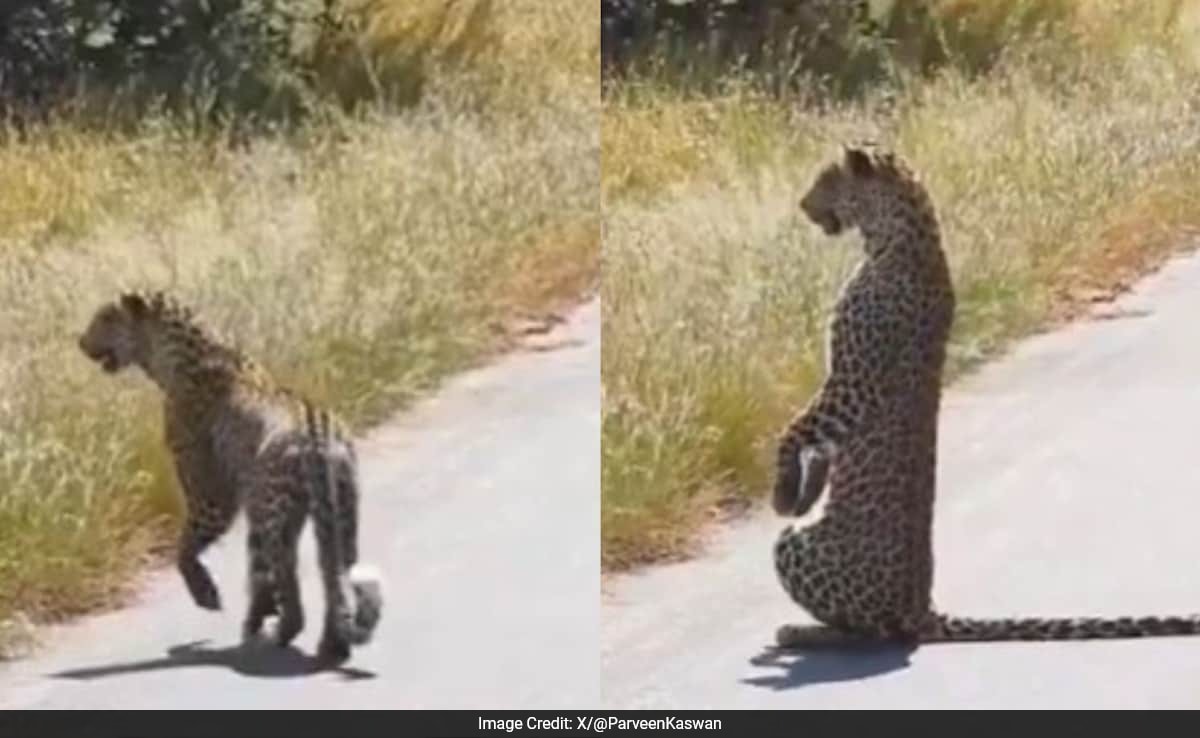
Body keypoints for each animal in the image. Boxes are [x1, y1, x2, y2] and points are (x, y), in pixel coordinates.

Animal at [78, 289, 383, 664]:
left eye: (106, 318)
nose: (81, 341)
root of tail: (322, 438)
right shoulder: (253, 505)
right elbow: (257, 569)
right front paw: (256, 615)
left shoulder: (213, 498)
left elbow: (186, 549)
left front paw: (208, 595)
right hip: (338, 514)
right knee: (334, 572)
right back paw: (331, 645)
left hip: (278, 517)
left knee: (291, 579)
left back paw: (281, 636)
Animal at [771, 143, 1200, 646]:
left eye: (827, 181)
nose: (803, 204)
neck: (893, 238)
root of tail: (924, 611)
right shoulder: (844, 383)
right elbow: (816, 437)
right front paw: (806, 486)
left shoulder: (854, 383)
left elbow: (796, 426)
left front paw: (782, 492)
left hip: (797, 545)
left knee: (875, 632)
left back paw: (799, 632)